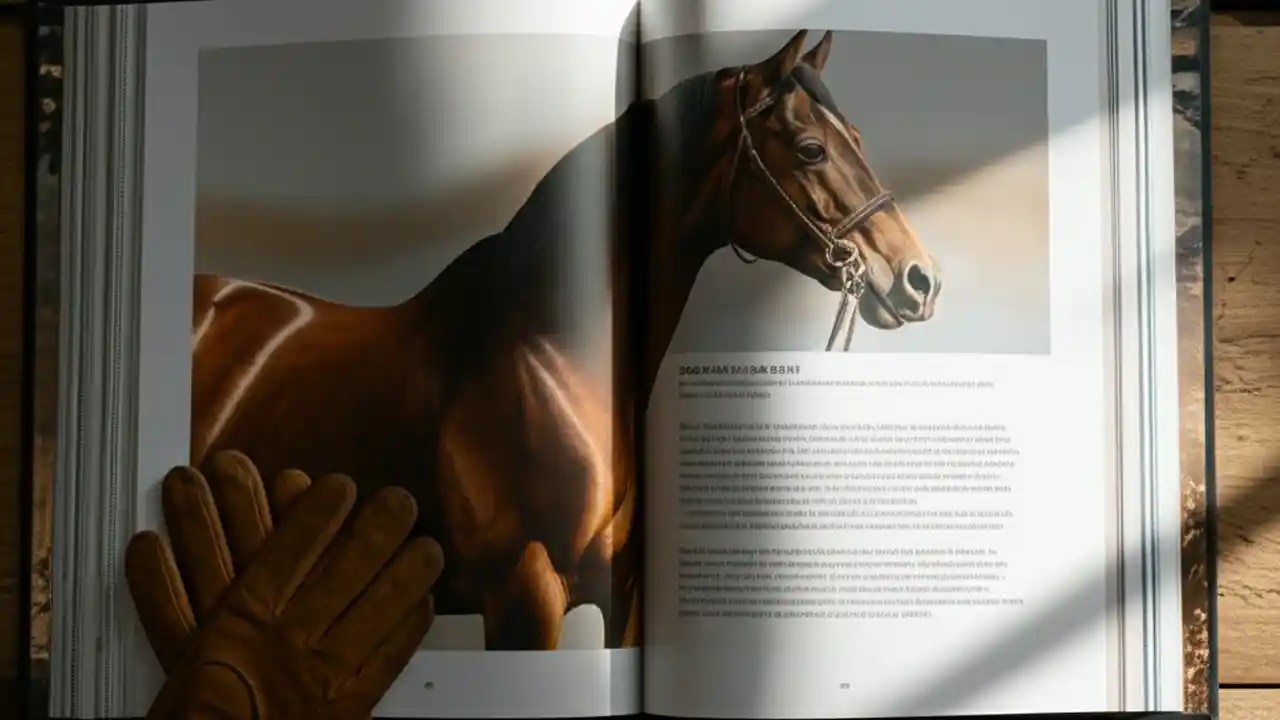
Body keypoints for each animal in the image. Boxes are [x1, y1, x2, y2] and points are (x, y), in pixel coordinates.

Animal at [189, 29, 941, 652]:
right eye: (812, 150)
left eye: (859, 138)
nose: (920, 279)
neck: (557, 359)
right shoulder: (524, 591)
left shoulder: (623, 598)